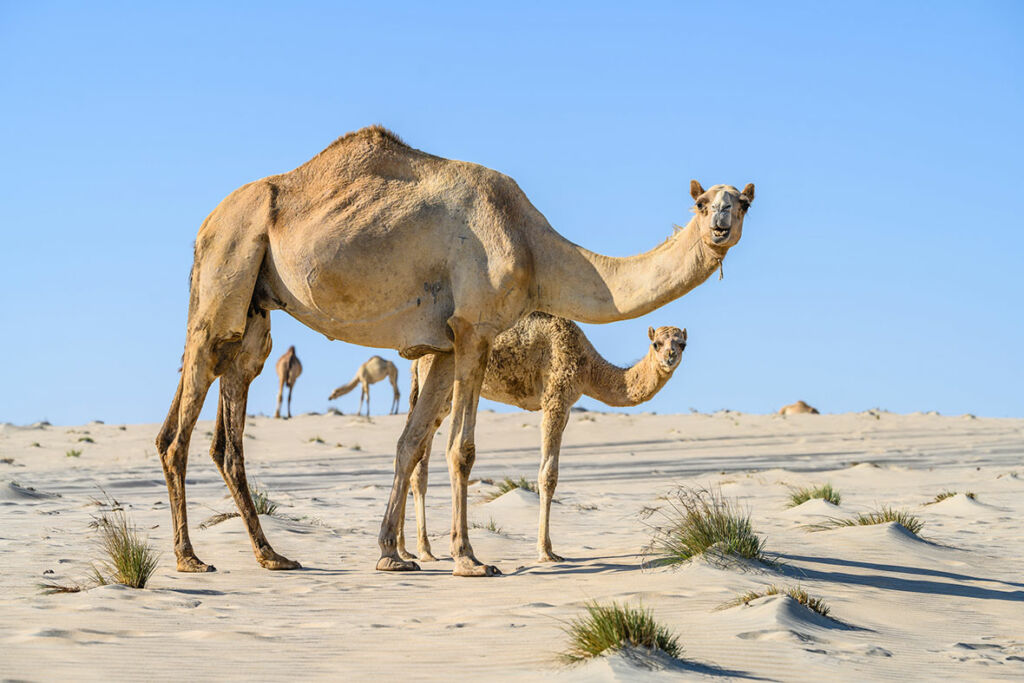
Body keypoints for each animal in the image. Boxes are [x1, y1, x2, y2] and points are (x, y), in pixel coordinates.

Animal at [396, 314, 687, 563]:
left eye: (682, 343)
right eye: (656, 343)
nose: (670, 356)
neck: (588, 367)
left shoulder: (566, 408)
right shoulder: (555, 398)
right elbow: (548, 475)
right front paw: (546, 552)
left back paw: (407, 550)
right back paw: (423, 551)